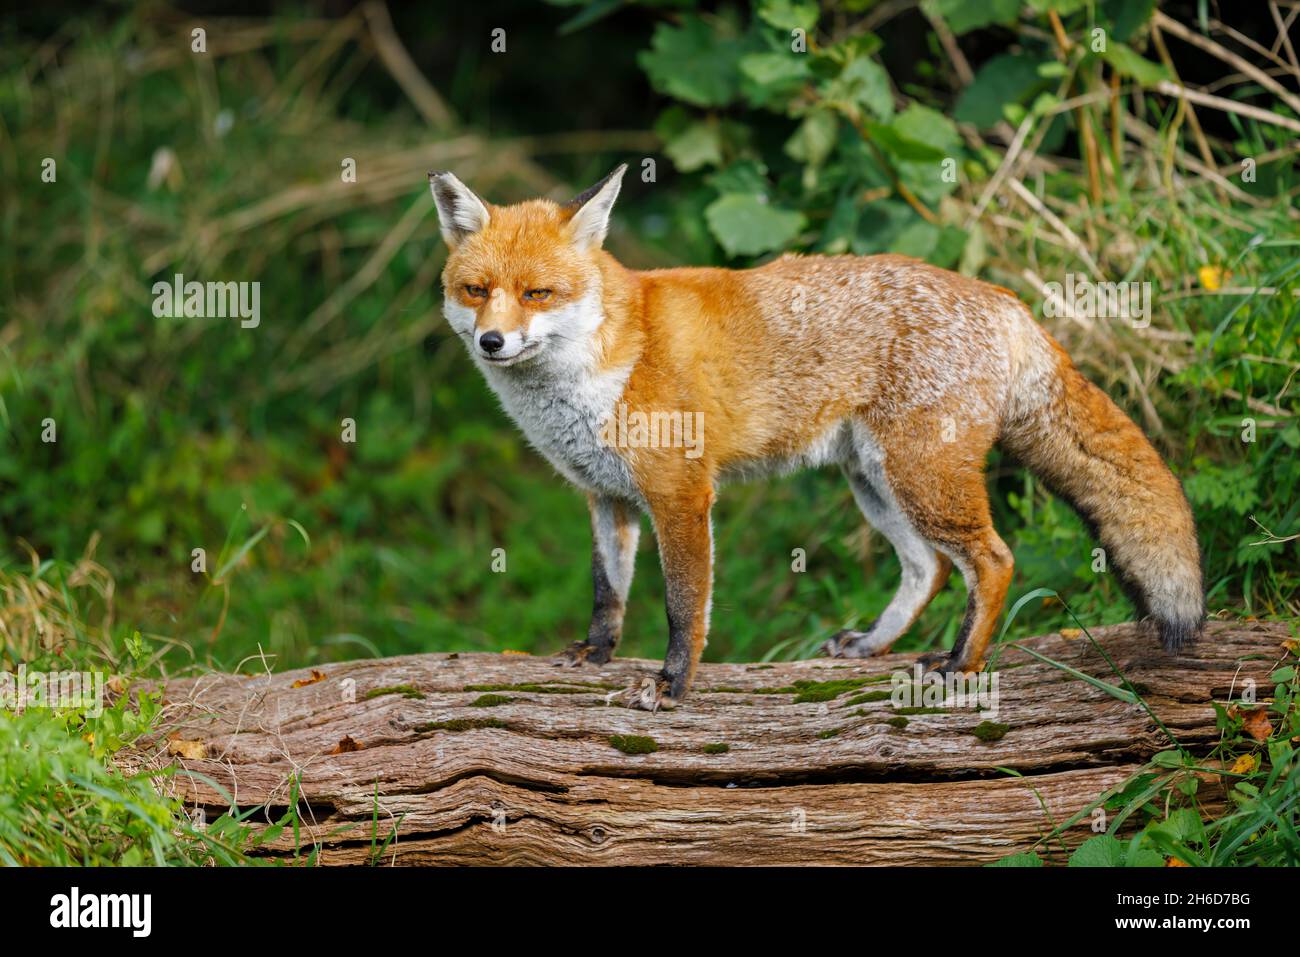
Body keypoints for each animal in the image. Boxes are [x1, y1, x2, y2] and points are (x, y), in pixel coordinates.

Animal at [429, 163, 1204, 711]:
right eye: (477, 290)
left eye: (537, 294)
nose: (493, 342)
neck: (591, 374)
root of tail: (1003, 299)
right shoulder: (606, 497)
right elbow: (606, 592)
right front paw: (595, 655)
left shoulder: (680, 493)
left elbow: (684, 607)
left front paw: (672, 685)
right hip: (874, 481)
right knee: (927, 567)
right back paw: (874, 644)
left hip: (920, 478)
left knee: (992, 560)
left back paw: (962, 663)